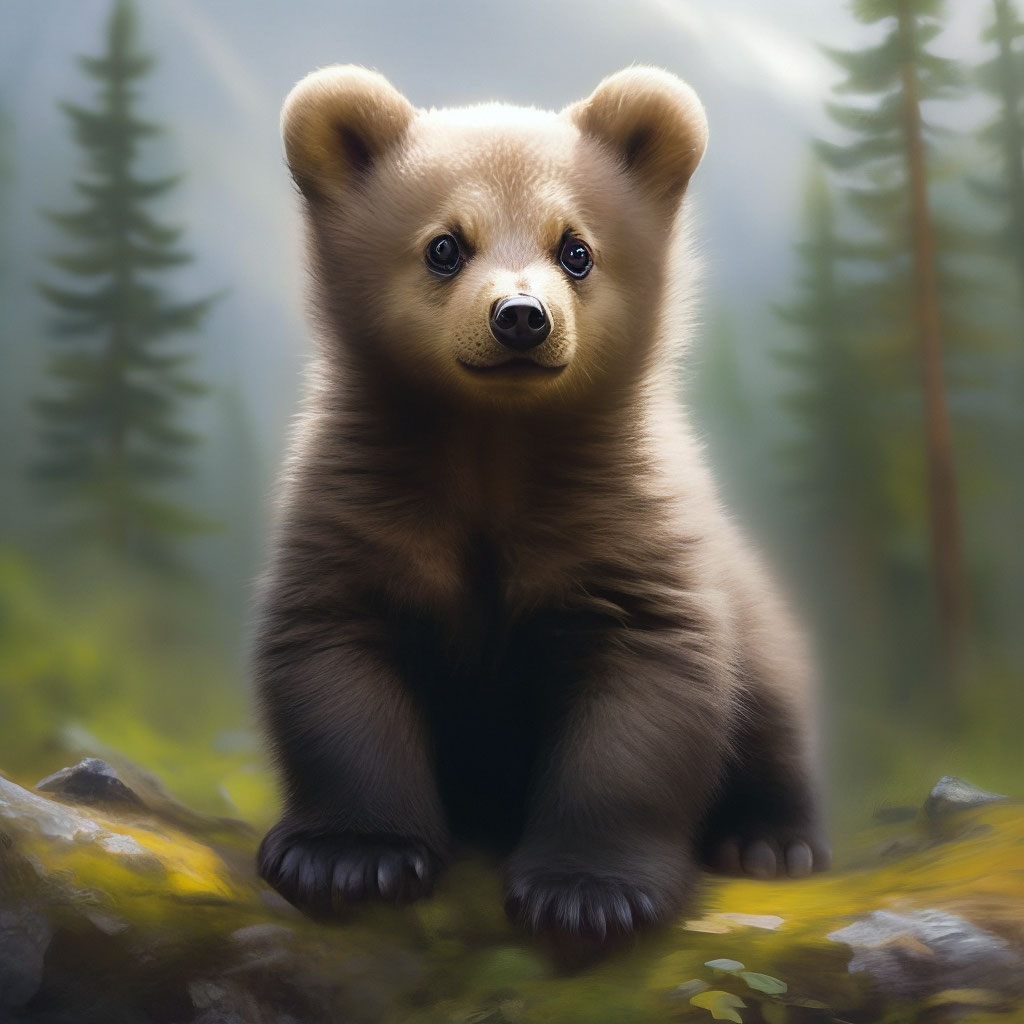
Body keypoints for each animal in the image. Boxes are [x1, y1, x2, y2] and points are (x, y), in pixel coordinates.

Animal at [254, 64, 830, 944]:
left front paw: (588, 892)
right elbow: (334, 666)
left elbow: (644, 702)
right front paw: (349, 857)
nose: (521, 318)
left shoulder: (627, 537)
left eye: (577, 248)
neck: (495, 447)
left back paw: (770, 839)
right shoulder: (357, 509)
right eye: (445, 245)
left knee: (772, 700)